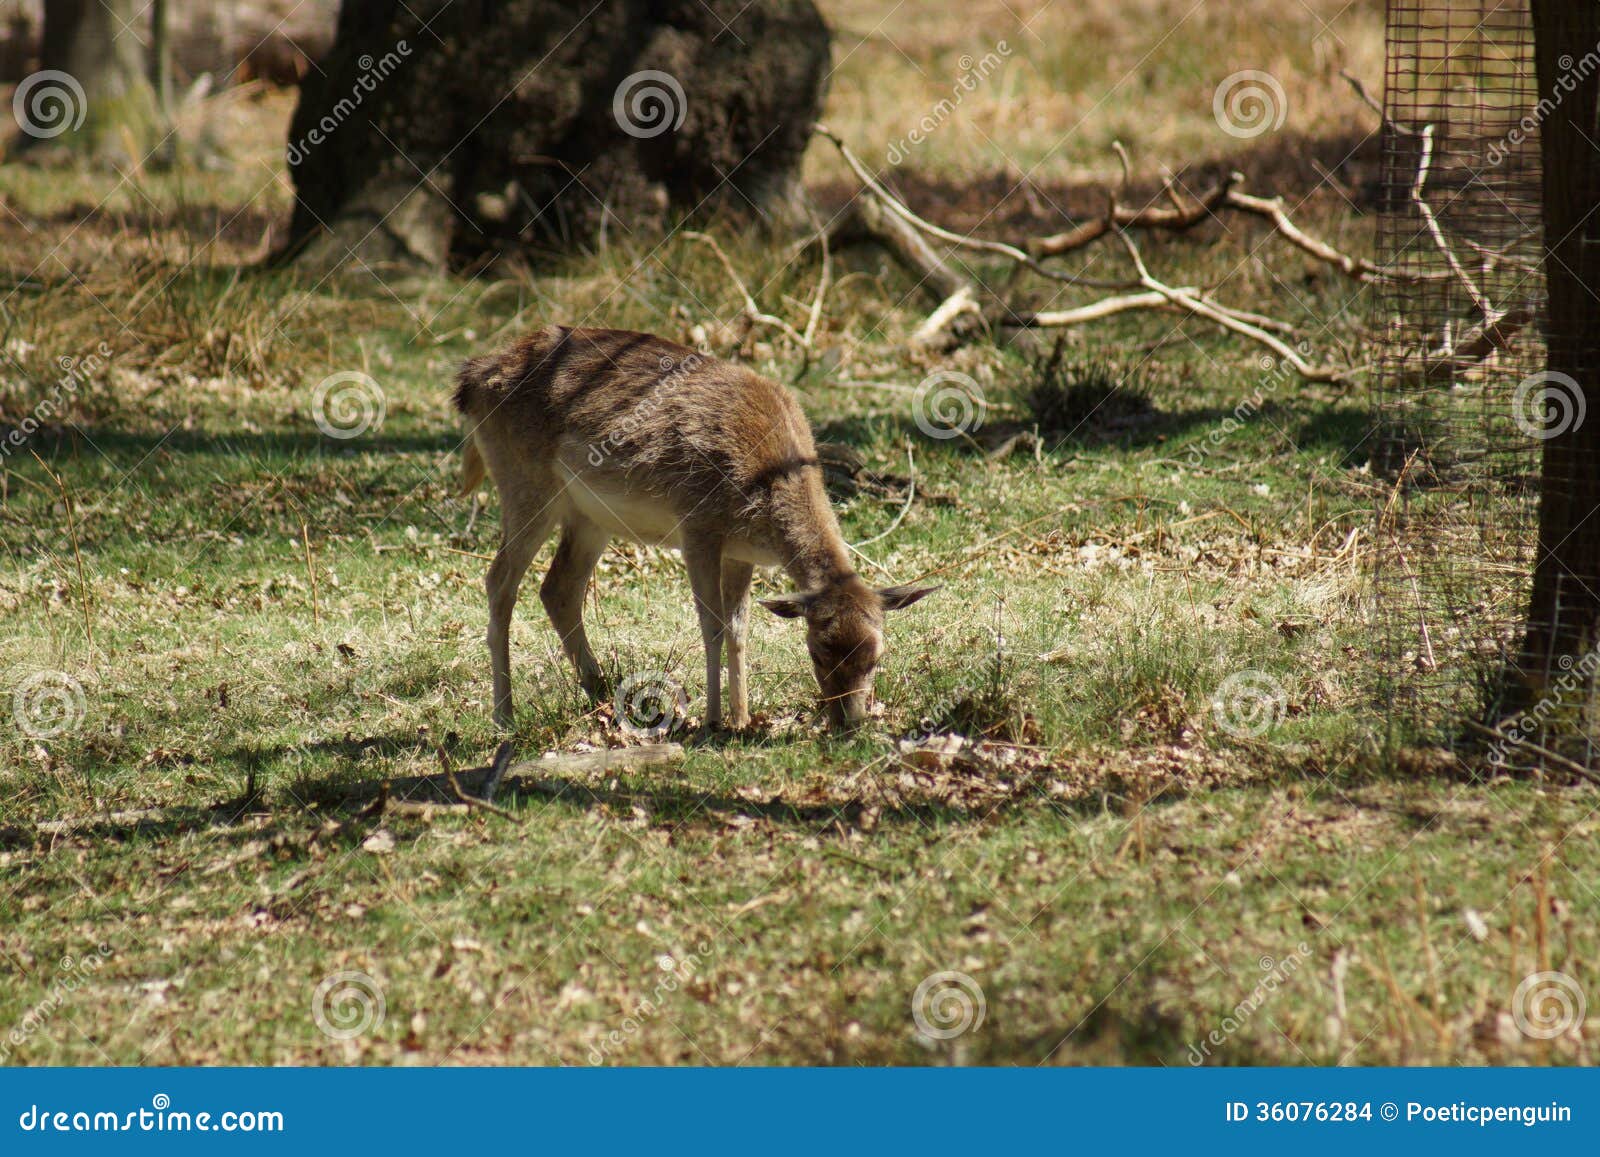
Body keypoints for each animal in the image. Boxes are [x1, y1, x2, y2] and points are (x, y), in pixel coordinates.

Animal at [453, 325, 939, 732]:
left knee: (558, 587)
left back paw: (600, 692)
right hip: (524, 484)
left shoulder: (740, 552)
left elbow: (740, 627)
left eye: (877, 655)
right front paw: (712, 721)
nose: (849, 722)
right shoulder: (698, 527)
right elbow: (712, 625)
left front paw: (742, 718)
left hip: (589, 516)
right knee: (499, 580)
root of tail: (470, 381)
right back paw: (505, 715)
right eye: (817, 651)